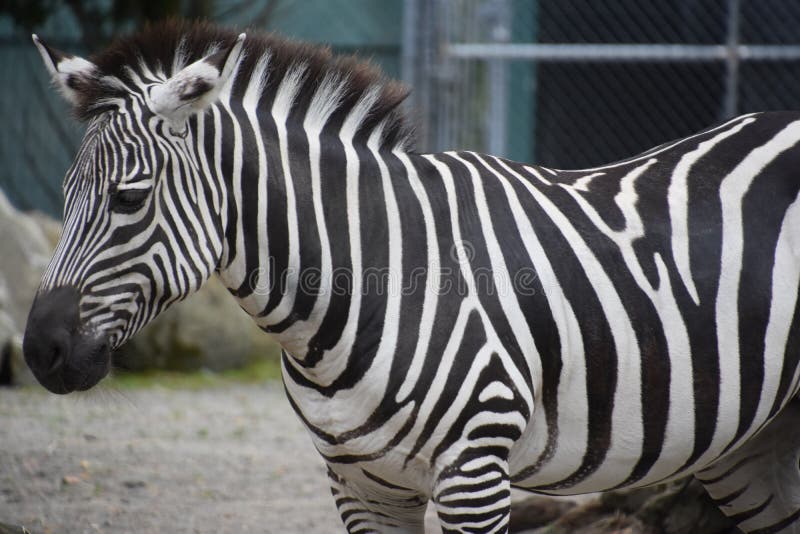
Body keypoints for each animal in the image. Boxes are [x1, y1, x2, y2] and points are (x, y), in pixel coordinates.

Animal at [22, 20, 800, 533]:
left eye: (128, 198)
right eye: (62, 195)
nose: (38, 352)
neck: (377, 274)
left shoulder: (475, 476)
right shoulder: (361, 486)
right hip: (755, 445)